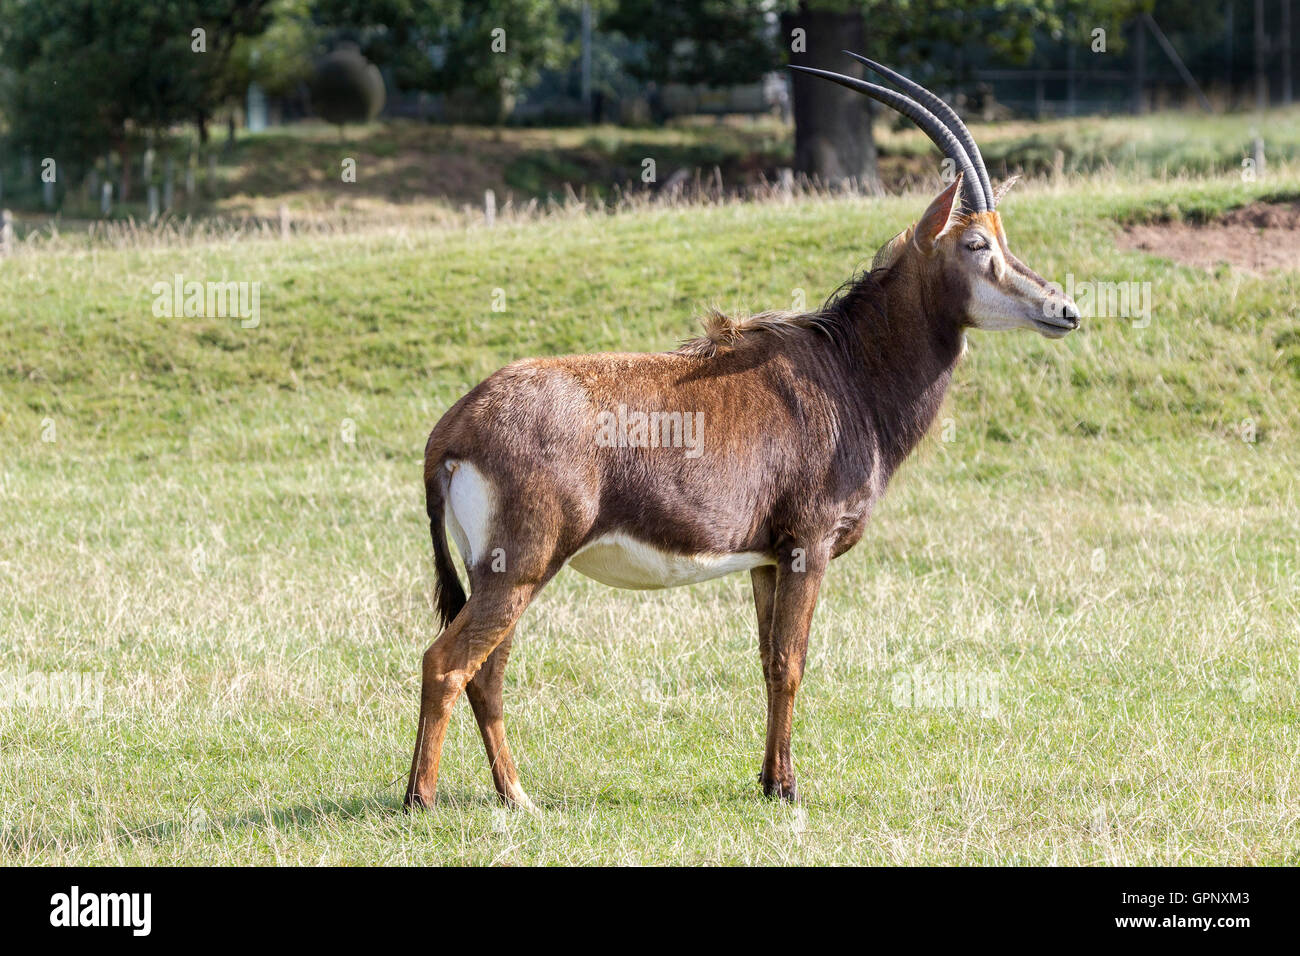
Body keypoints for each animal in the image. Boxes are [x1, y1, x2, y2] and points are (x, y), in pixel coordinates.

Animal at [404, 54, 1080, 810]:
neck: (848, 371)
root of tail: (454, 427)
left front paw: (766, 778)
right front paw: (788, 788)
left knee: (485, 671)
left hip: (501, 570)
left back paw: (517, 796)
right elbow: (791, 661)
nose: (1065, 309)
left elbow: (765, 660)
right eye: (976, 243)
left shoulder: (763, 559)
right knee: (447, 662)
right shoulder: (807, 546)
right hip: (520, 565)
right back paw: (421, 799)